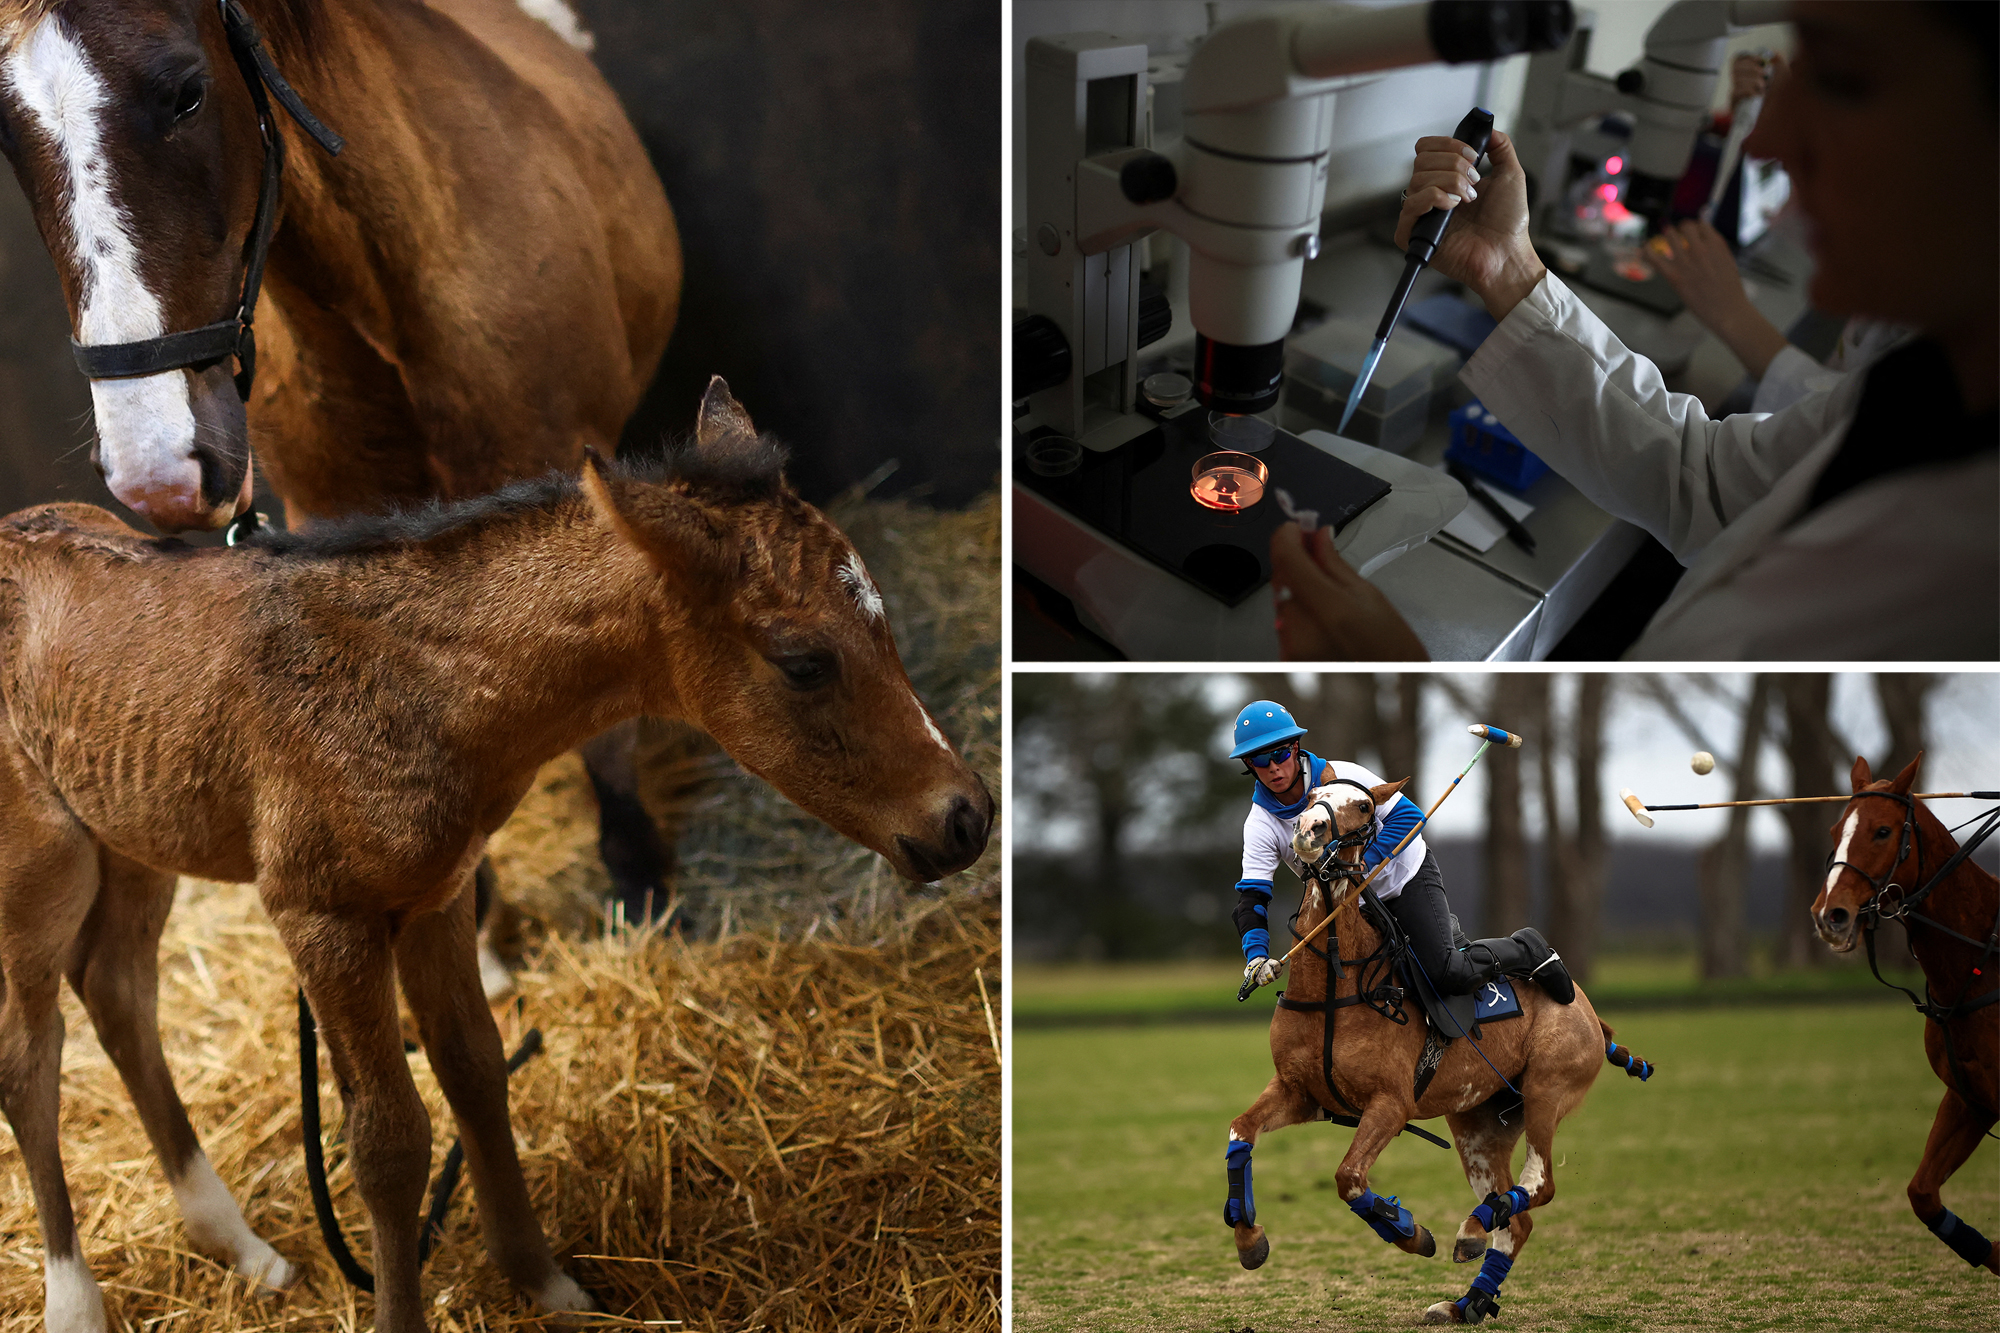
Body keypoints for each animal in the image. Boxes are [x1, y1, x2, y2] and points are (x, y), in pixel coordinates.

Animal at [0, 377, 993, 1333]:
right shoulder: (321, 913)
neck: (422, 685)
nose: (968, 818)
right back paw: (76, 1303)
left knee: (118, 992)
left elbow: (477, 1069)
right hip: (36, 868)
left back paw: (240, 1244)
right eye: (803, 661)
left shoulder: (436, 892)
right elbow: (389, 1141)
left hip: (129, 840)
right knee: (28, 1056)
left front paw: (547, 1283)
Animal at [1222, 777, 1653, 1326]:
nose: (1310, 830)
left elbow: (1350, 1178)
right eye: (1312, 797)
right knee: (1517, 1219)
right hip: (1479, 1125)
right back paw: (1466, 1301)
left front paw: (1408, 1230)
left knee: (1540, 1185)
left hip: (1547, 1092)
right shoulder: (1300, 1093)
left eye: (1363, 805)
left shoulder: (1390, 1104)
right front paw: (1249, 1240)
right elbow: (1240, 1133)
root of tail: (1591, 1012)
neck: (1335, 989)